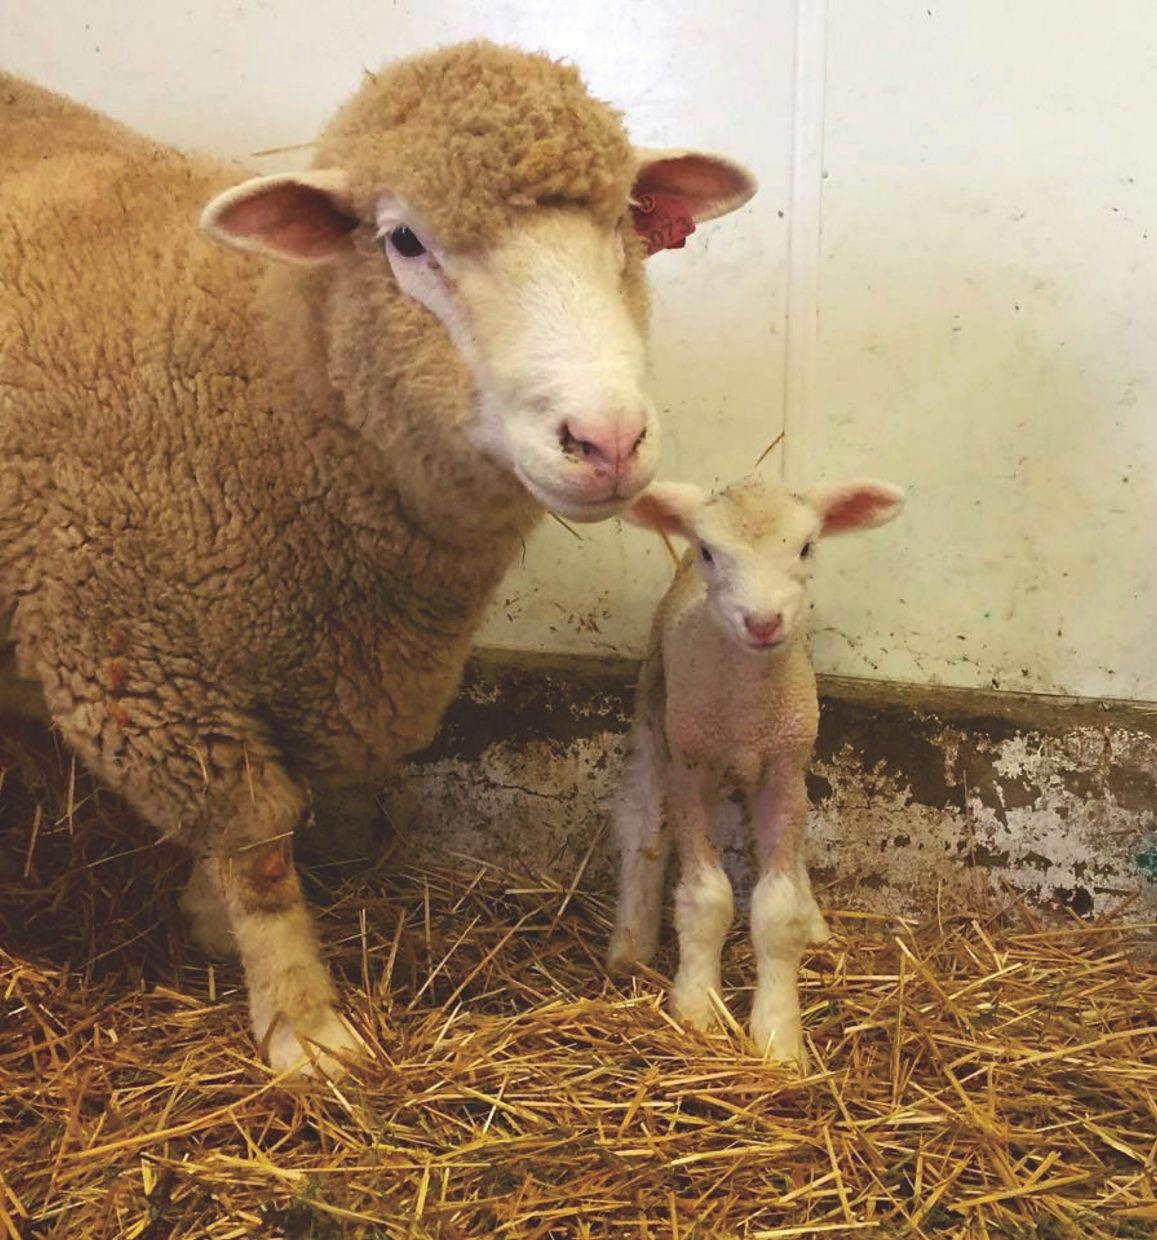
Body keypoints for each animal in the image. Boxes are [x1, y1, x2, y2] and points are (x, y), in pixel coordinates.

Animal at [0, 41, 757, 1077]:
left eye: (625, 225)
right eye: (402, 241)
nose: (606, 441)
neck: (272, 369)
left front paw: (207, 922)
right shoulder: (138, 660)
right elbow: (259, 841)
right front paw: (303, 1025)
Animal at [607, 475, 904, 1065]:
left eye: (807, 547)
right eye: (708, 551)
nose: (764, 623)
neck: (745, 711)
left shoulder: (784, 768)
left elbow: (776, 908)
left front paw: (778, 1038)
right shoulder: (691, 767)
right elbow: (707, 898)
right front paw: (695, 1009)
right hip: (655, 708)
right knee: (643, 823)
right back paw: (631, 942)